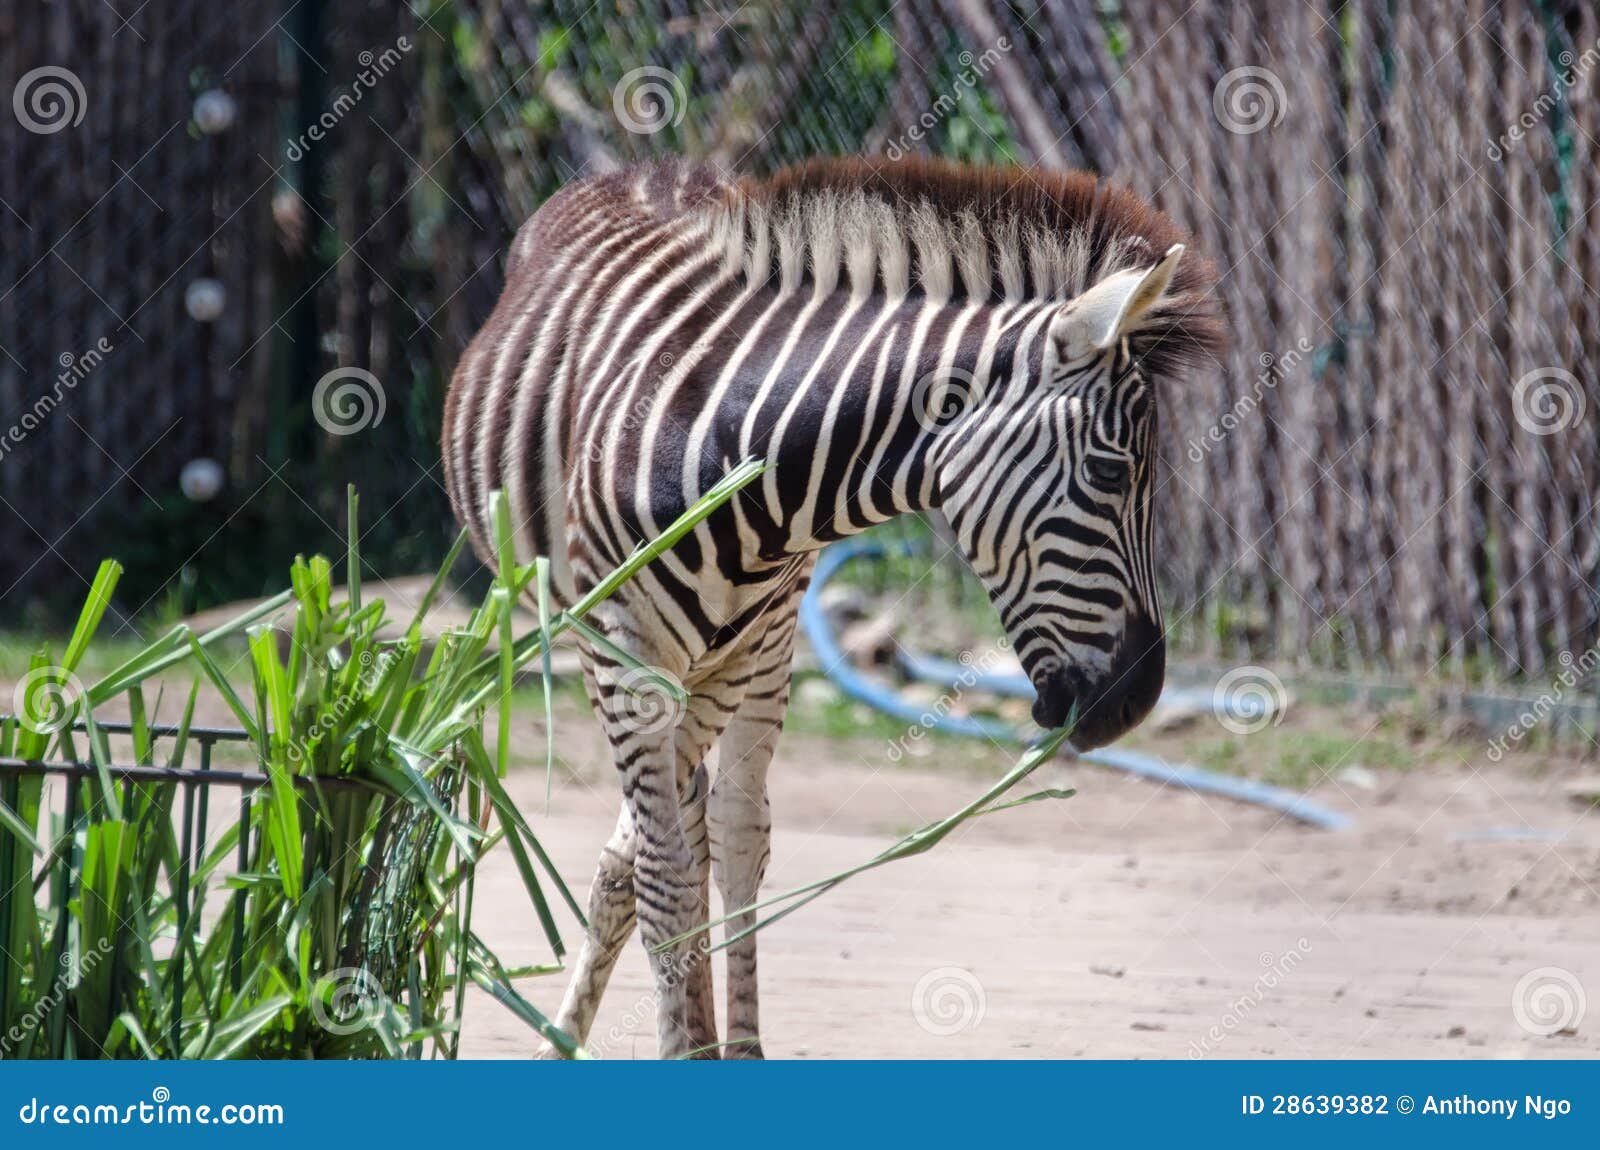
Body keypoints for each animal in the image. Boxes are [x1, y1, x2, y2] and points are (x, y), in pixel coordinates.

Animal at [443, 156, 1224, 1058]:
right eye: (1109, 473)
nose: (1138, 700)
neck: (748, 455)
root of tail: (639, 169)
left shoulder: (768, 645)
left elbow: (735, 840)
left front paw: (735, 1052)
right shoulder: (626, 647)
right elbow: (665, 877)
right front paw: (685, 1048)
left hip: (716, 659)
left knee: (671, 835)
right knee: (655, 850)